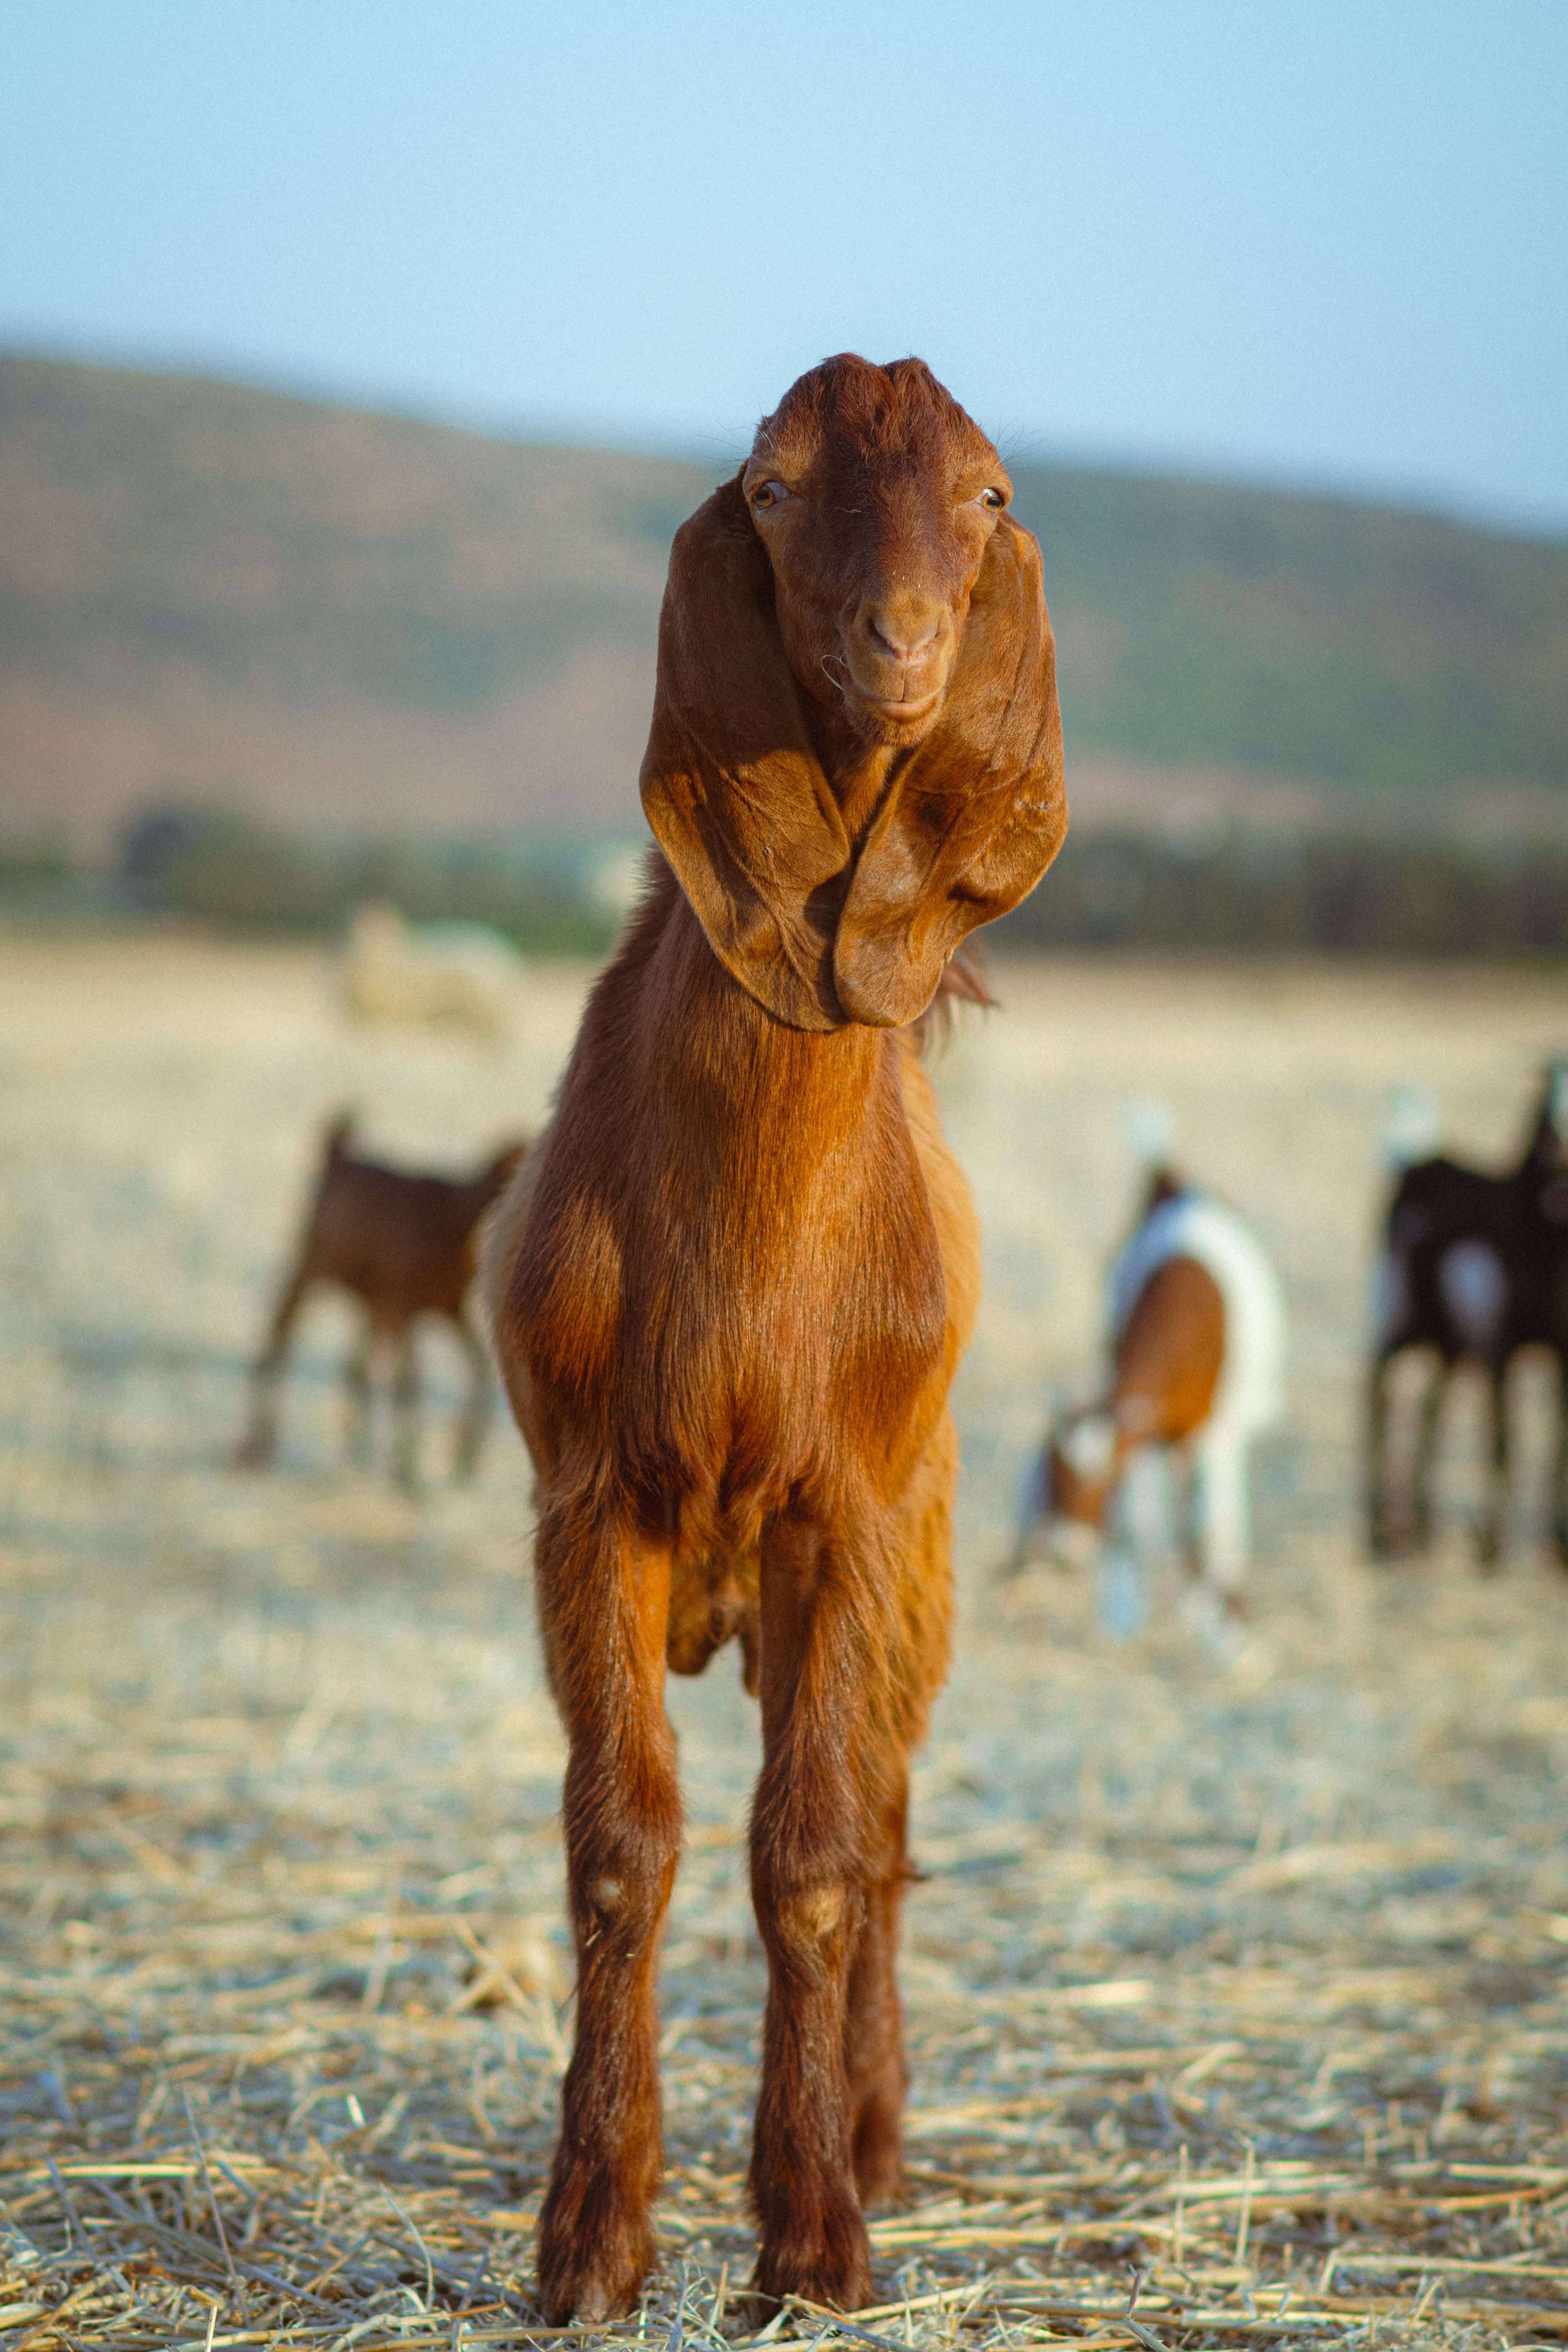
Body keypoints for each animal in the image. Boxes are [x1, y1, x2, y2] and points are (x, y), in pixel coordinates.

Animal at [237, 1114, 527, 1487]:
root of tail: (337, 1153)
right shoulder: (401, 1306)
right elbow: (410, 1382)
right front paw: (409, 1468)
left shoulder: (444, 1311)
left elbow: (473, 1367)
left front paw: (461, 1459)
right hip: (310, 1265)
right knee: (280, 1332)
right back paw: (257, 1446)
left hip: (367, 1301)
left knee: (353, 1363)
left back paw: (352, 1448)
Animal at [482, 354, 1066, 2320]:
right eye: (769, 483)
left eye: (986, 491)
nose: (898, 641)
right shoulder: (589, 1500)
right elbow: (620, 1845)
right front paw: (592, 2237)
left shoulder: (848, 1515)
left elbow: (810, 1856)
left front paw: (811, 2234)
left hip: (926, 1559)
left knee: (881, 1818)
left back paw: (869, 2133)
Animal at [1010, 1169, 1286, 1637]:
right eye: (1054, 1470)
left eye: (1107, 1477)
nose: (1068, 1549)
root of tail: (1174, 1183)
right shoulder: (1145, 1433)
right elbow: (1137, 1525)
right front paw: (1126, 1615)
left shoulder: (1217, 1432)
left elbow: (1217, 1521)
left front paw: (1224, 1616)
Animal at [1367, 1058, 1568, 1567]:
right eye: (1547, 1100)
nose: (1558, 1149)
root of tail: (1417, 1162)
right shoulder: (1497, 1344)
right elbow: (1501, 1439)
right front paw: (1491, 1548)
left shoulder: (1560, 1350)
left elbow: (1557, 1439)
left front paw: (1555, 1547)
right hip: (1393, 1316)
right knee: (1378, 1396)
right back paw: (1377, 1532)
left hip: (1448, 1344)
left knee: (1429, 1405)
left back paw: (1421, 1530)